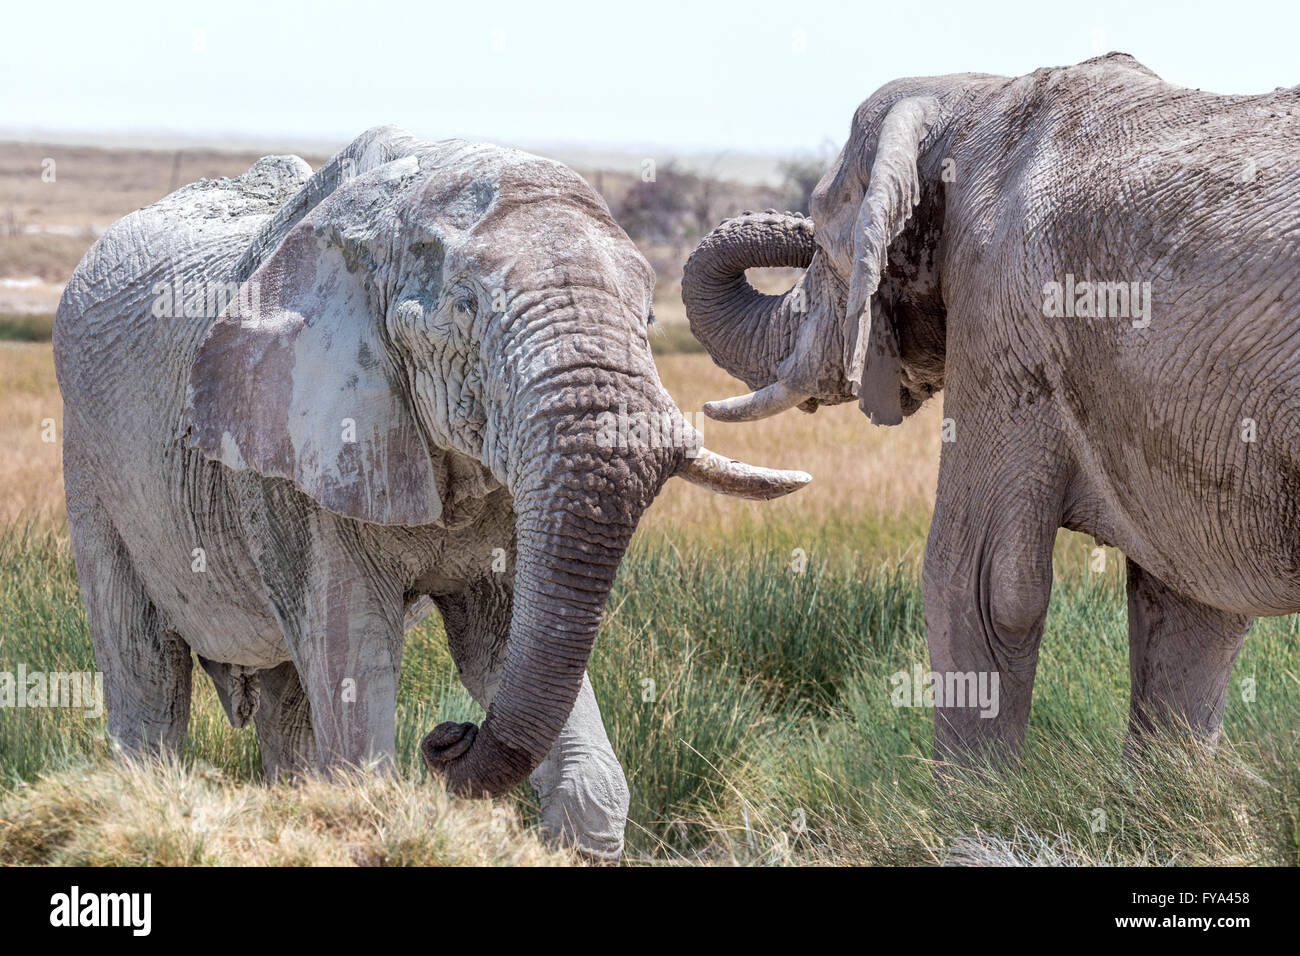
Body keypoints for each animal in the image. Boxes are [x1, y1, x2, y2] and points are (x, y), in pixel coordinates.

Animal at [53, 126, 809, 860]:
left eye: (648, 317)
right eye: (465, 311)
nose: (448, 736)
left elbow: (503, 646)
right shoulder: (301, 454)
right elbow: (355, 656)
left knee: (284, 703)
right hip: (89, 459)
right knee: (146, 670)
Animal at [682, 53, 1300, 765]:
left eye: (827, 231)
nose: (795, 229)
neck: (976, 99)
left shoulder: (1002, 309)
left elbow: (974, 581)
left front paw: (974, 801)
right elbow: (1191, 602)